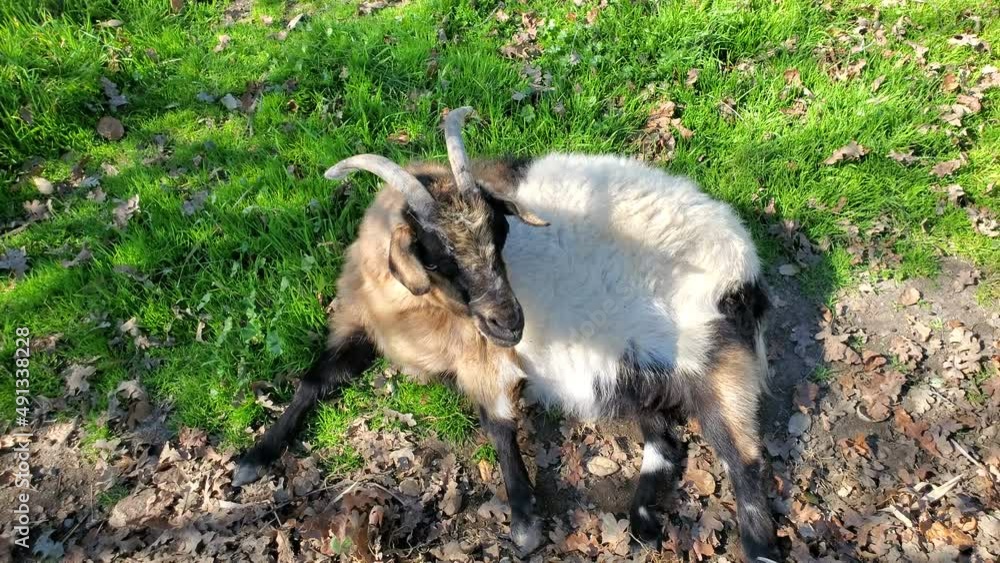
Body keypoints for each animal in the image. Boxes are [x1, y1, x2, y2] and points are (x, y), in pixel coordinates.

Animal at [233, 107, 779, 562]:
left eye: (499, 233)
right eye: (436, 257)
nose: (512, 323)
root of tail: (746, 278)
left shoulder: (484, 356)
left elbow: (496, 424)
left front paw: (523, 523)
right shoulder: (360, 324)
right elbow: (314, 379)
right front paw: (254, 458)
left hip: (714, 364)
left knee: (745, 463)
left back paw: (754, 545)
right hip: (629, 374)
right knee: (665, 441)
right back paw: (642, 521)